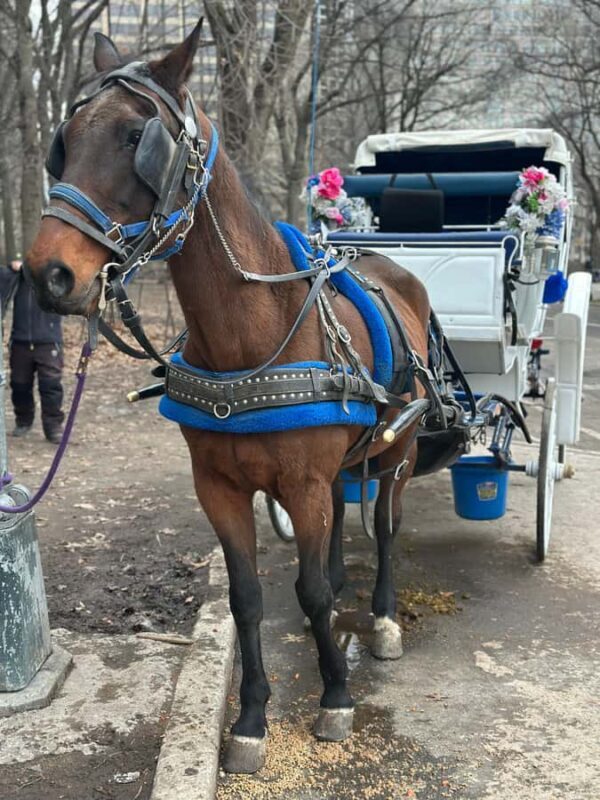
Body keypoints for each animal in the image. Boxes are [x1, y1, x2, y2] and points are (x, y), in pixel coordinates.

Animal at [25, 20, 430, 774]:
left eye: (137, 136)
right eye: (65, 138)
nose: (47, 273)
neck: (251, 338)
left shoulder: (301, 481)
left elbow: (308, 590)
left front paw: (335, 695)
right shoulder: (218, 484)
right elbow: (248, 598)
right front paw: (250, 718)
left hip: (401, 448)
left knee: (387, 528)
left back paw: (384, 617)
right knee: (341, 515)